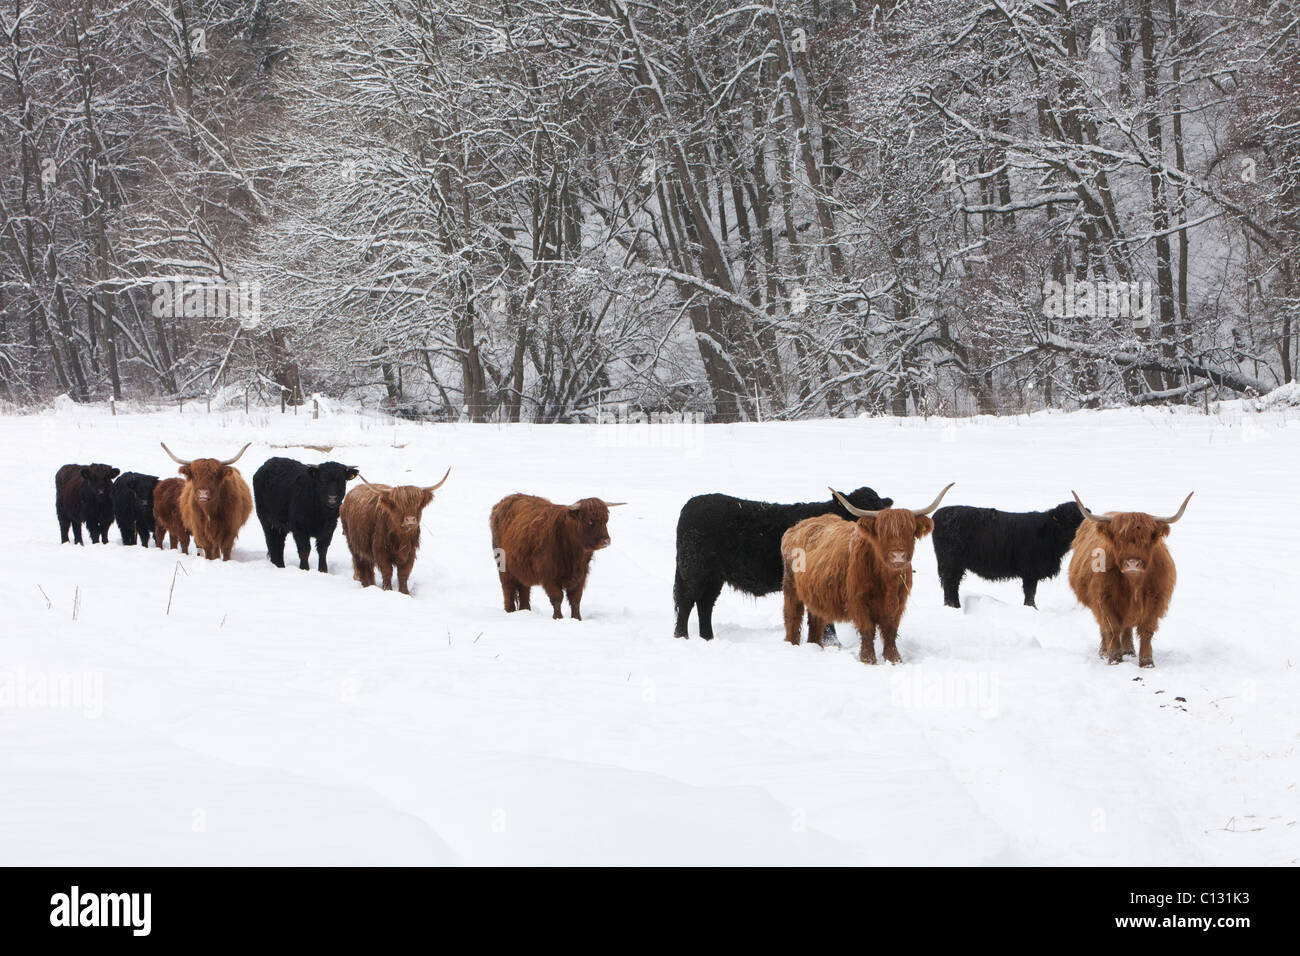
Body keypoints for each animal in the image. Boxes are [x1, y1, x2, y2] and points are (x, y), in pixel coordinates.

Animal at [490, 493, 625, 620]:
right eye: (589, 521)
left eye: (605, 521)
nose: (606, 541)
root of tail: (502, 503)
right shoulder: (549, 576)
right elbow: (557, 597)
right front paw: (558, 617)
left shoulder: (580, 576)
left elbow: (576, 599)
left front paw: (577, 618)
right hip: (504, 567)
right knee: (508, 588)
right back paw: (510, 610)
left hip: (522, 568)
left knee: (524, 589)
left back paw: (525, 610)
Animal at [673, 486, 893, 640]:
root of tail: (692, 503)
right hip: (694, 570)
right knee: (686, 602)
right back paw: (682, 637)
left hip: (713, 576)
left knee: (705, 604)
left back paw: (707, 638)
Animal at [780, 484, 953, 664]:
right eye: (882, 532)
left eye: (910, 531)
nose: (898, 556)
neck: (886, 581)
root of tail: (799, 525)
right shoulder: (858, 601)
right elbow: (867, 630)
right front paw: (868, 660)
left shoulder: (898, 602)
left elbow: (890, 631)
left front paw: (894, 659)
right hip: (790, 588)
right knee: (792, 617)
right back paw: (792, 645)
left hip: (816, 594)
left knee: (816, 621)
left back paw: (815, 647)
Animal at [932, 501, 1084, 608]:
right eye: (1070, 520)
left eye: (1081, 519)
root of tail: (939, 513)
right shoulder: (1030, 571)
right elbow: (1030, 594)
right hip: (950, 564)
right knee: (950, 586)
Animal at [1067, 491, 1192, 668]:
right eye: (1119, 539)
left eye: (1146, 539)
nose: (1133, 562)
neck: (1133, 583)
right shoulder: (1104, 599)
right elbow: (1111, 628)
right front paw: (1114, 659)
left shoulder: (1155, 599)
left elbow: (1146, 630)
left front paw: (1147, 662)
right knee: (1105, 628)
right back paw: (1104, 652)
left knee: (1126, 627)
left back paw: (1128, 650)